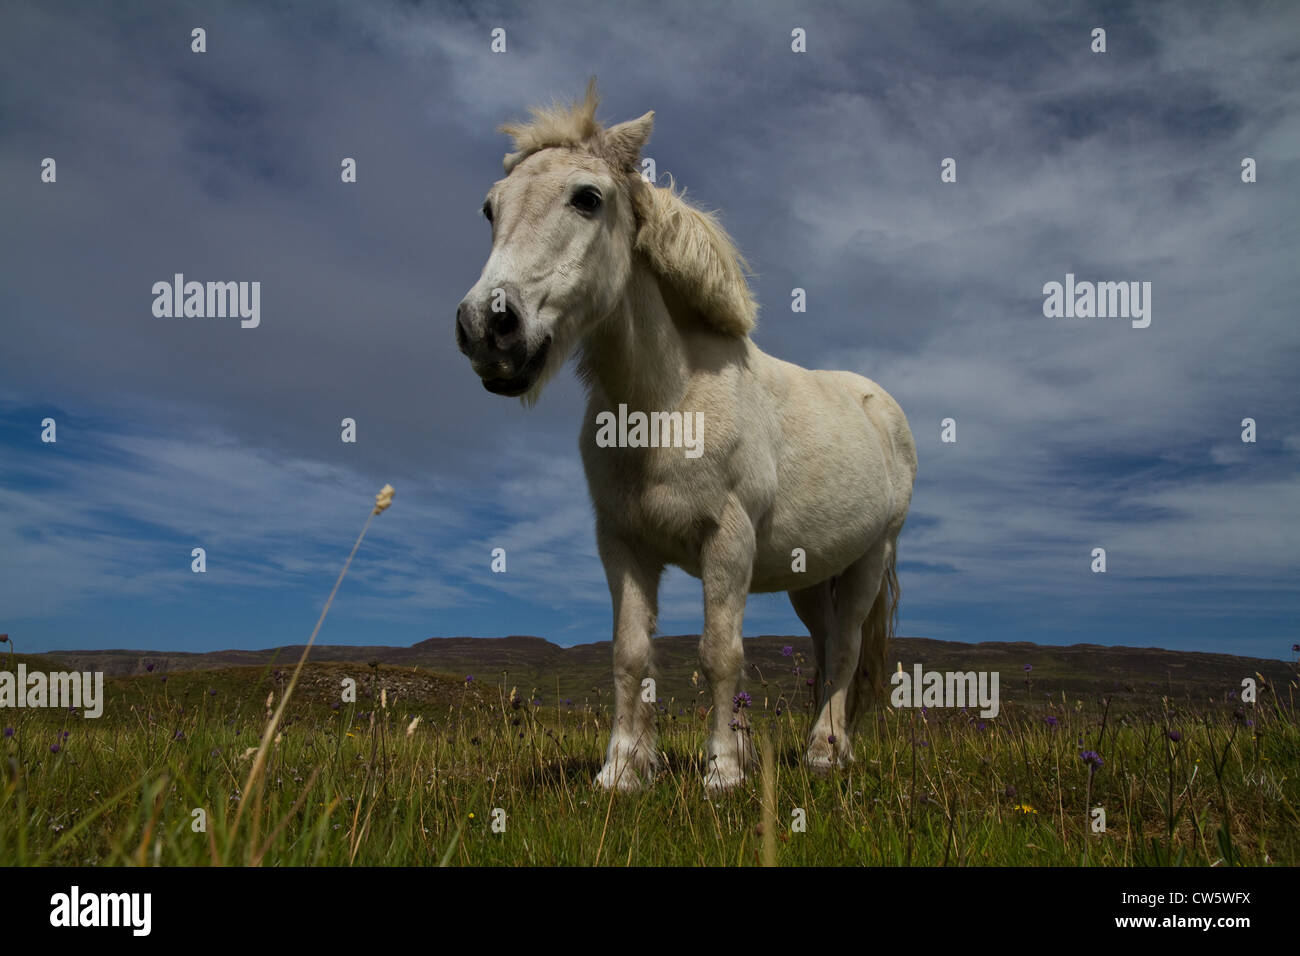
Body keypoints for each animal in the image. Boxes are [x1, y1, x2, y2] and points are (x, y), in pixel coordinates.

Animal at [455, 80, 917, 792]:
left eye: (586, 197)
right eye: (490, 208)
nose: (488, 329)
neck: (669, 404)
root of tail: (880, 406)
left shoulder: (726, 542)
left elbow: (719, 653)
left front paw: (723, 771)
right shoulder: (622, 544)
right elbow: (630, 654)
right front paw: (622, 771)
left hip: (871, 557)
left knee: (845, 647)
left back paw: (825, 751)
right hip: (813, 578)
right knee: (825, 644)